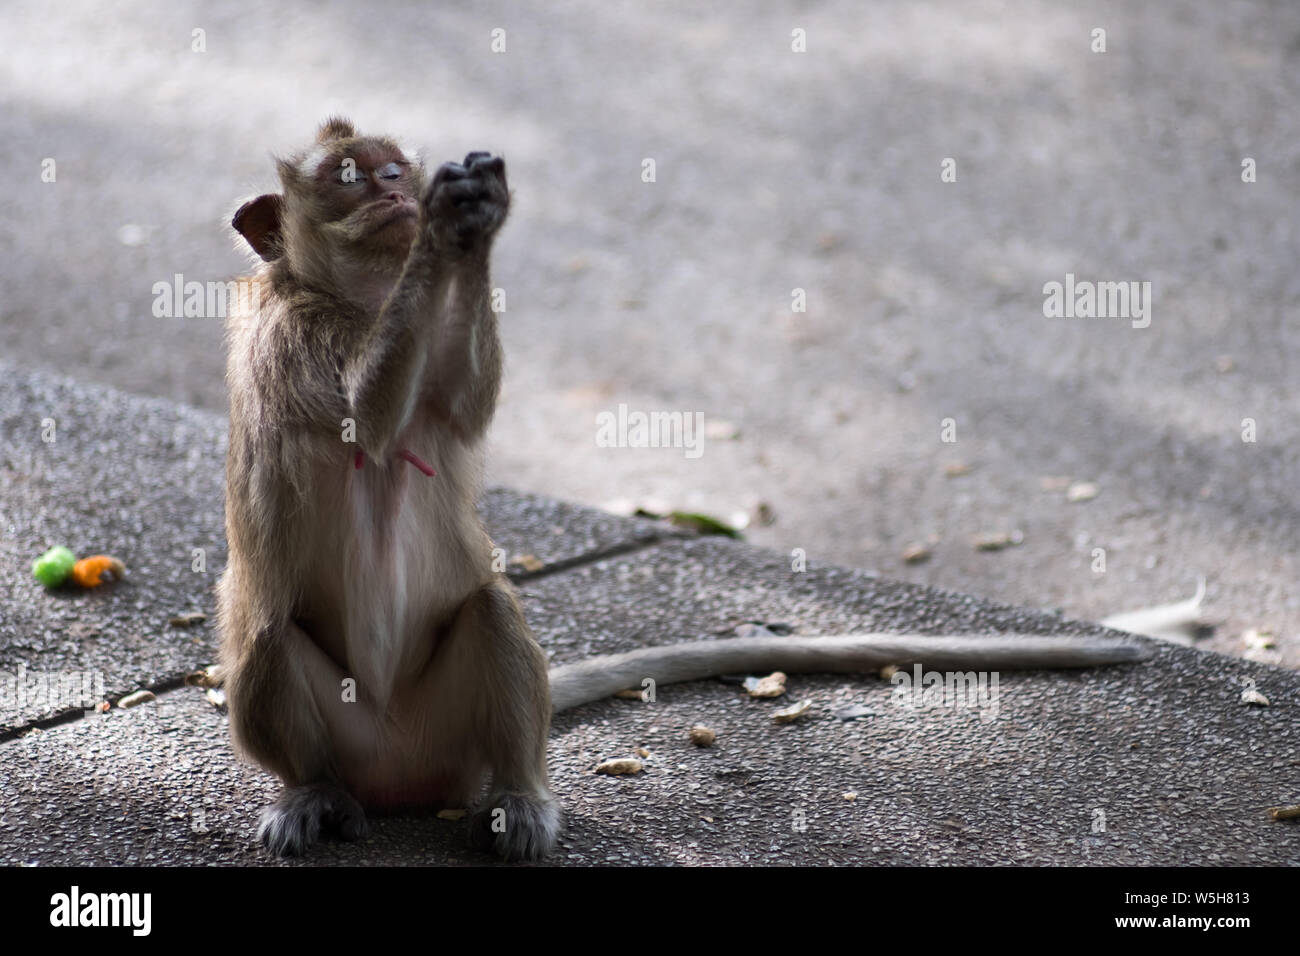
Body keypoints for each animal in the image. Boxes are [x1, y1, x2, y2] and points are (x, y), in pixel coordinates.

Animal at [217, 118, 1151, 862]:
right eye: (349, 175)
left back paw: (520, 798)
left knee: (488, 609)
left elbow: (460, 409)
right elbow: (369, 426)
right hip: (353, 731)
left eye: (391, 167)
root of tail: (401, 780)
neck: (356, 300)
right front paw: (447, 232)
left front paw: (476, 224)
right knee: (268, 634)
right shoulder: (289, 334)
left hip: (451, 734)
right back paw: (312, 794)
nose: (394, 189)